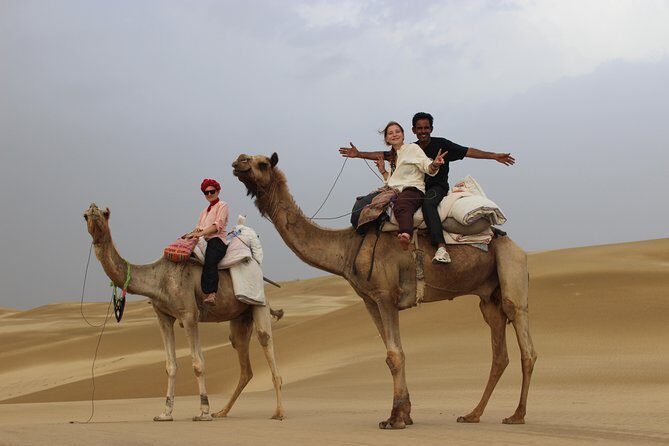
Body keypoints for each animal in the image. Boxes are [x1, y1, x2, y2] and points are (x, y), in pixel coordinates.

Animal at [83, 203, 284, 421]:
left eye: (105, 214)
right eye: (85, 215)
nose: (93, 213)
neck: (159, 278)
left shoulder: (189, 314)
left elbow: (198, 363)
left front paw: (203, 412)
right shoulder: (163, 316)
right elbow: (170, 366)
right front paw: (165, 413)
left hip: (259, 304)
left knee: (265, 340)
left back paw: (278, 412)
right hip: (240, 318)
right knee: (243, 361)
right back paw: (222, 411)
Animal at [232, 153, 536, 429]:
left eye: (262, 163)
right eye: (248, 158)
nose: (239, 161)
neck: (347, 248)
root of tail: (516, 246)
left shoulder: (386, 294)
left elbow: (394, 355)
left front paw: (396, 419)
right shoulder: (370, 300)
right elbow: (393, 352)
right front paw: (403, 414)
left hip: (511, 271)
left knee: (525, 342)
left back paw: (517, 415)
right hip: (488, 298)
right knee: (499, 353)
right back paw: (473, 414)